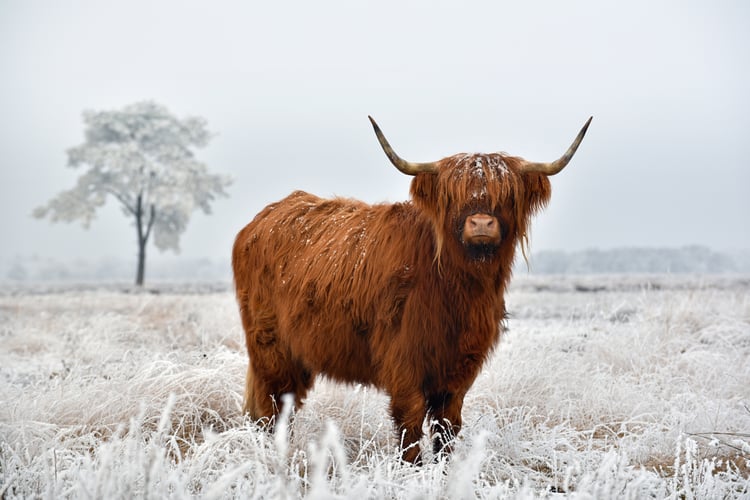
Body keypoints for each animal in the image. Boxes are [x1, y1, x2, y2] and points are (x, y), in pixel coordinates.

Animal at [232, 116, 592, 463]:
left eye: (506, 195)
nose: (481, 224)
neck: (458, 289)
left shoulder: (460, 367)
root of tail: (262, 219)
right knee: (272, 406)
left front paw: (445, 469)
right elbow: (410, 422)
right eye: (453, 195)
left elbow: (448, 426)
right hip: (270, 348)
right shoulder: (403, 359)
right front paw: (413, 470)